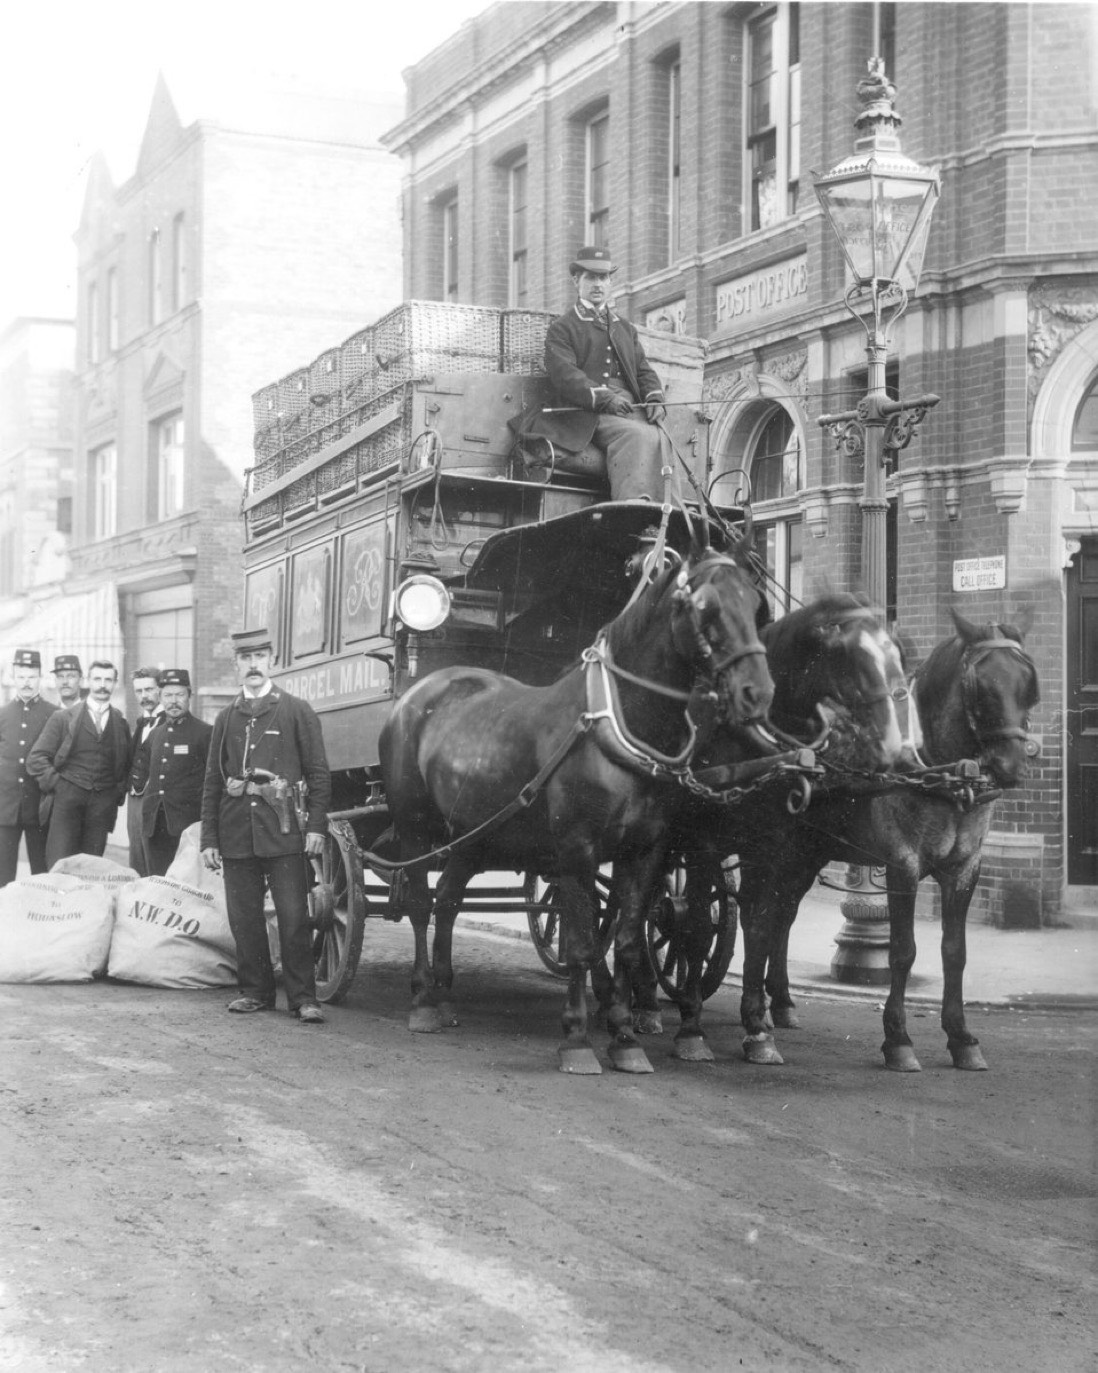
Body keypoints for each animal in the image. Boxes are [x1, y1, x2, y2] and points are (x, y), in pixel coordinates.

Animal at [378, 521, 774, 1070]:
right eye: (704, 605)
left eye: (756, 603)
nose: (757, 692)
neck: (619, 724)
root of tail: (419, 693)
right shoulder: (577, 851)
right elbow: (584, 945)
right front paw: (578, 1039)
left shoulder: (643, 853)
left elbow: (626, 942)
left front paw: (626, 1038)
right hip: (416, 827)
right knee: (419, 903)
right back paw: (422, 1001)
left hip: (472, 837)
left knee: (449, 902)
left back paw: (445, 994)